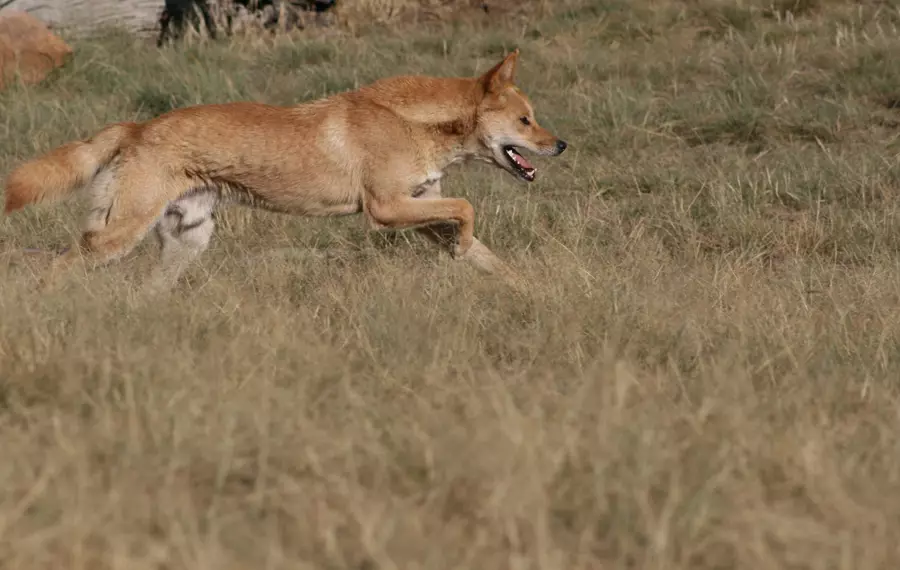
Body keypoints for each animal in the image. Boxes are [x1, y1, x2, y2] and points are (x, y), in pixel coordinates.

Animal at [3, 49, 568, 290]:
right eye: (526, 120)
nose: (561, 144)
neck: (412, 122)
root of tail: (137, 126)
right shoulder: (386, 210)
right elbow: (468, 209)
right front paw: (464, 247)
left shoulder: (421, 206)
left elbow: (488, 255)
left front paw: (529, 292)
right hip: (117, 236)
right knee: (56, 268)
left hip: (187, 241)